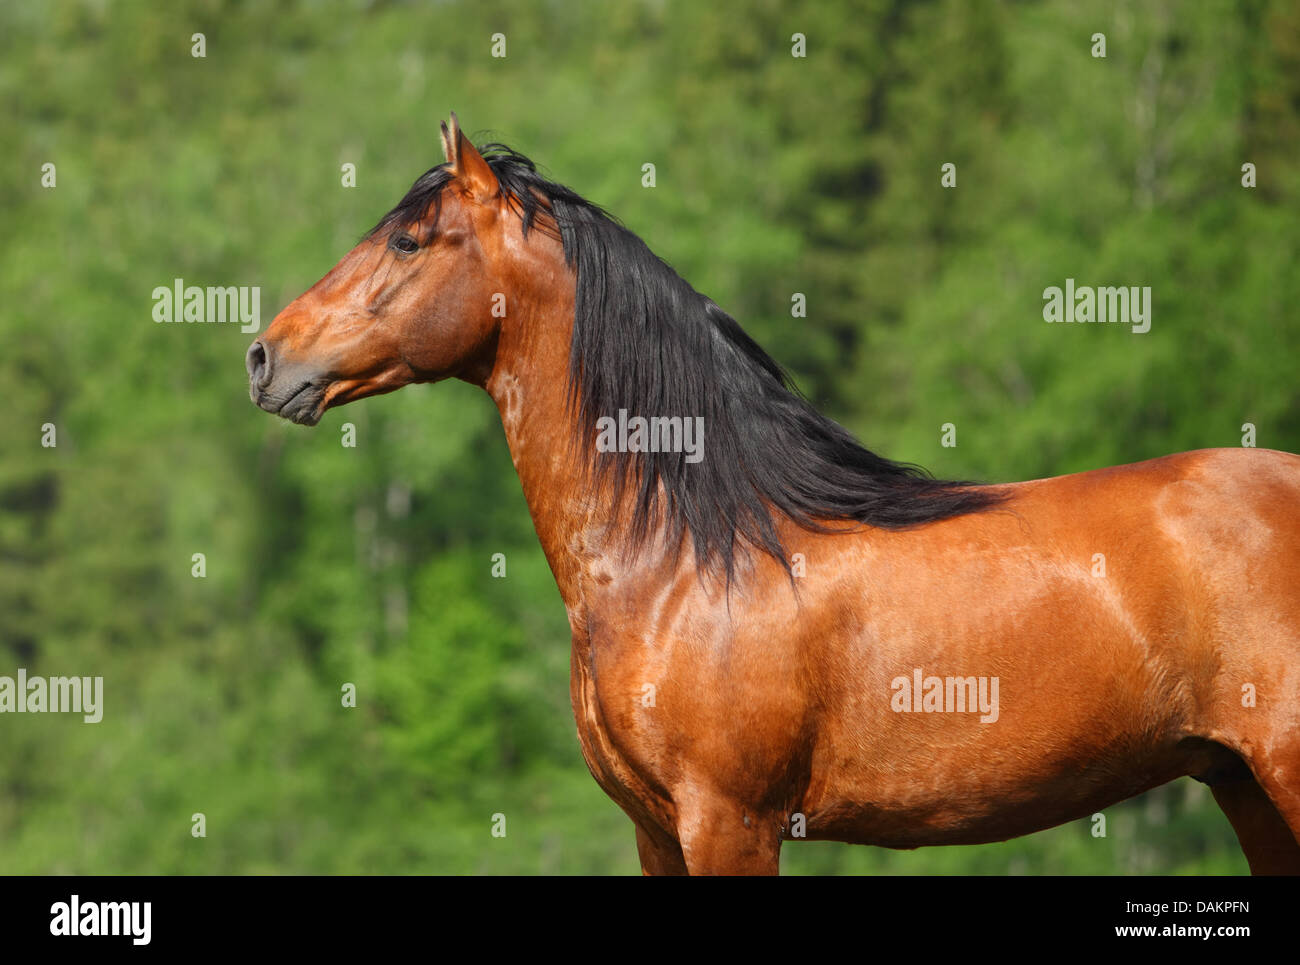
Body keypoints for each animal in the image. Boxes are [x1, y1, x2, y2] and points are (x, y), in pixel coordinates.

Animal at [246, 113, 1300, 875]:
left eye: (411, 241)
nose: (265, 355)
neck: (687, 554)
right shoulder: (658, 831)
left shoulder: (731, 821)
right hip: (1244, 787)